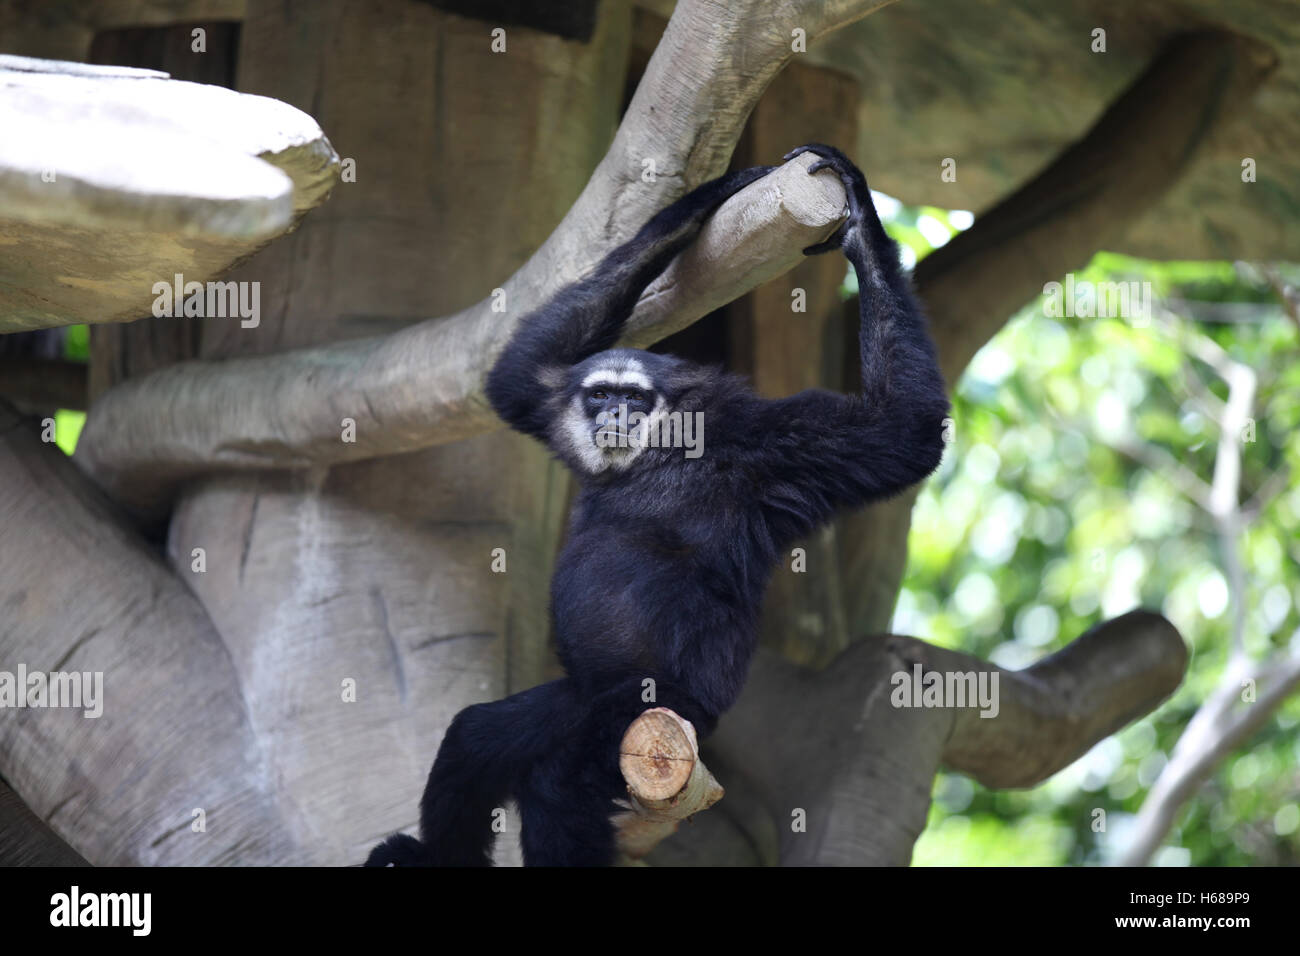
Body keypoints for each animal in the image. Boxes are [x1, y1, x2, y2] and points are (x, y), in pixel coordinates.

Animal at [366, 144, 949, 866]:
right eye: (600, 395)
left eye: (634, 398)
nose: (613, 413)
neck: (658, 456)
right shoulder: (553, 408)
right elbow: (516, 377)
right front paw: (725, 187)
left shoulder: (763, 444)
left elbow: (903, 431)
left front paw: (857, 212)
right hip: (585, 702)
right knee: (476, 737)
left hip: (654, 712)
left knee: (560, 781)